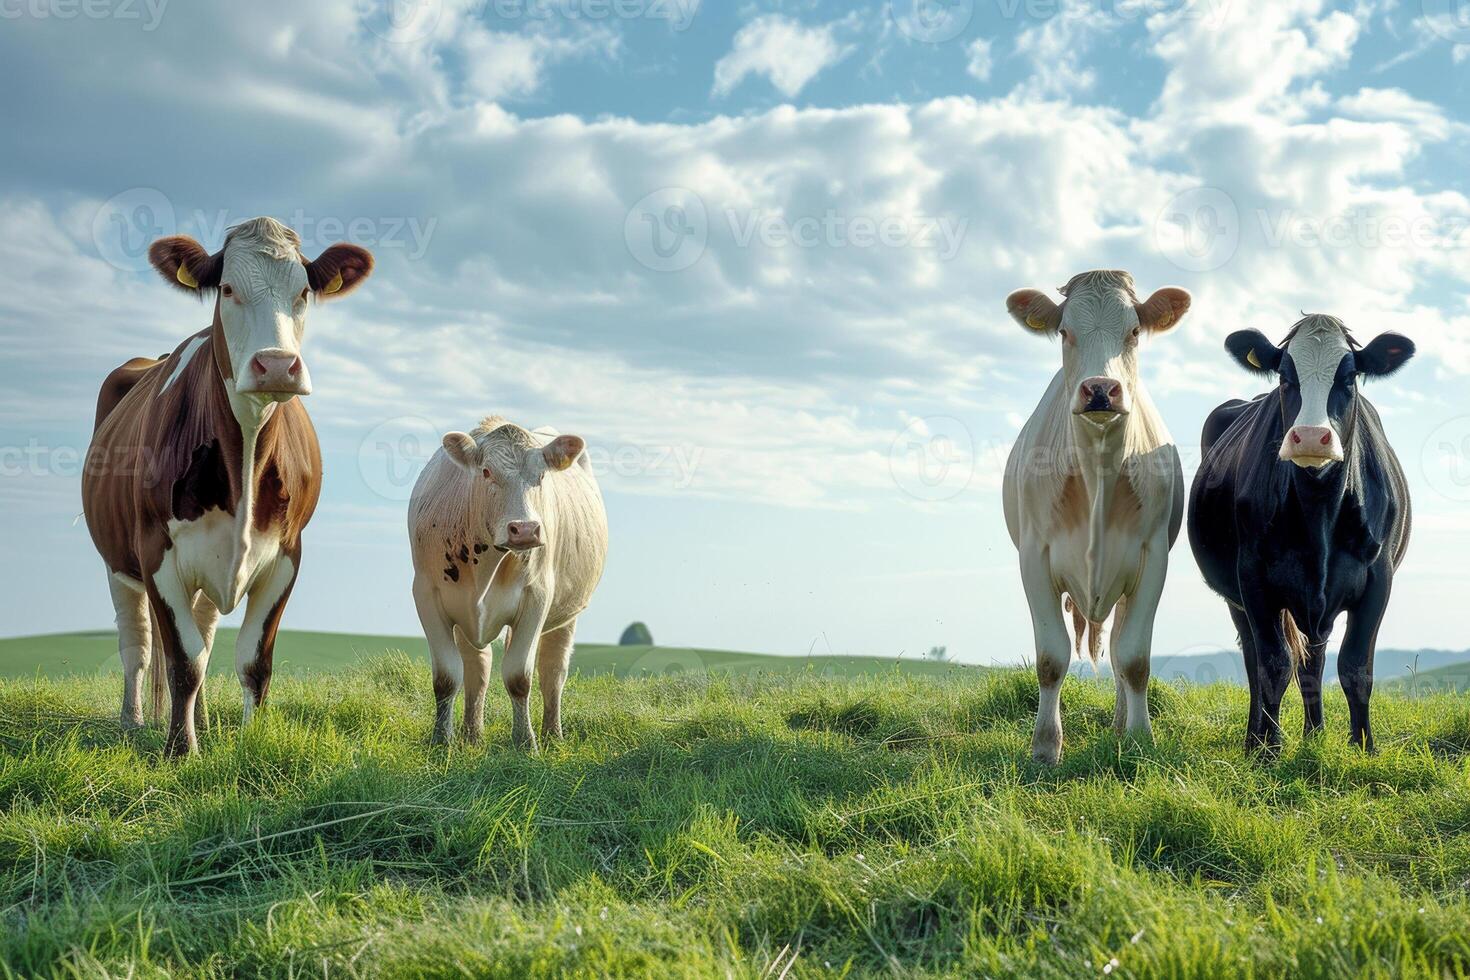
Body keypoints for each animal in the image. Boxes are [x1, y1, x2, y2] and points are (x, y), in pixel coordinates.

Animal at [81, 217, 373, 756]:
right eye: (228, 289)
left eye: (303, 292)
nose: (277, 364)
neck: (245, 461)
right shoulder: (155, 550)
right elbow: (183, 659)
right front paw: (182, 750)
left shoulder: (287, 555)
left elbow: (252, 660)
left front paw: (247, 741)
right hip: (117, 561)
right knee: (137, 645)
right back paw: (134, 720)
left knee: (204, 631)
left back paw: (200, 719)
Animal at [407, 417, 607, 750]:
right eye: (487, 471)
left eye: (541, 475)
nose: (524, 529)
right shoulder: (427, 596)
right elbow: (447, 677)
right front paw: (441, 740)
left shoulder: (536, 599)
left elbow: (519, 677)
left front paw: (526, 742)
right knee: (477, 667)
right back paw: (472, 734)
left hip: (566, 615)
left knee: (553, 670)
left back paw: (552, 733)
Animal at [1002, 270, 1192, 764]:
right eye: (1065, 332)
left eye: (1134, 331)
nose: (1101, 389)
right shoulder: (1033, 556)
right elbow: (1051, 659)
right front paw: (1045, 748)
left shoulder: (1152, 557)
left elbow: (1135, 658)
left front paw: (1141, 739)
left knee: (1123, 647)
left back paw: (1122, 724)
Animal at [1188, 314, 1414, 755]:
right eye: (1285, 377)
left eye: (1349, 377)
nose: (1310, 436)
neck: (1318, 509)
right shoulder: (1252, 577)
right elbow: (1274, 664)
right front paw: (1269, 752)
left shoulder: (1379, 578)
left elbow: (1355, 666)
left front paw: (1364, 748)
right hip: (1237, 598)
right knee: (1256, 660)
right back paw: (1254, 738)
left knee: (1314, 659)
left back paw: (1315, 734)